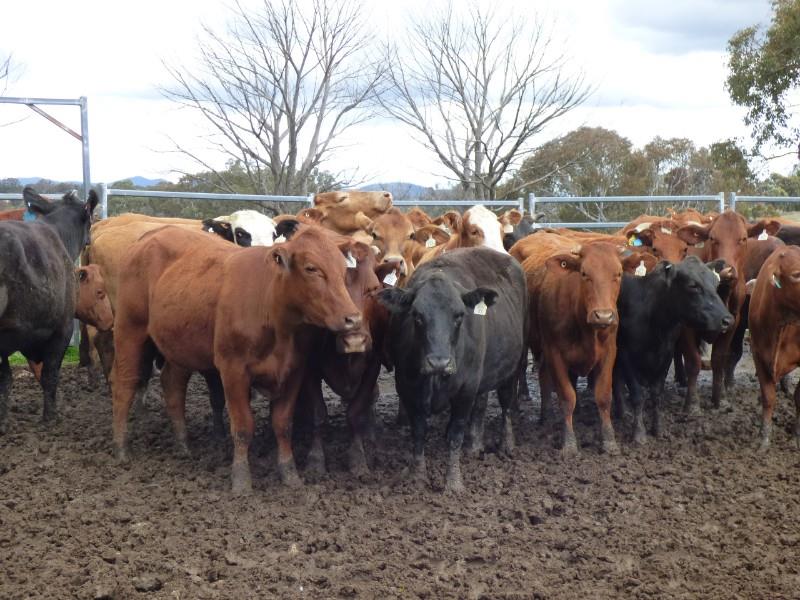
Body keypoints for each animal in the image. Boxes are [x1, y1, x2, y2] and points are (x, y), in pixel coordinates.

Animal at [111, 225, 363, 493]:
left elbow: (283, 424)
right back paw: (121, 449)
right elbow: (242, 427)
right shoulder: (233, 370)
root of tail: (150, 235)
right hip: (129, 330)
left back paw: (183, 445)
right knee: (124, 384)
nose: (353, 318)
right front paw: (241, 480)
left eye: (343, 269)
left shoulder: (294, 370)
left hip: (178, 343)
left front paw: (290, 474)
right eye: (311, 268)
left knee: (172, 385)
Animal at [379, 247, 527, 492]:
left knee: (507, 405)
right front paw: (417, 477)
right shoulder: (407, 389)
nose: (439, 362)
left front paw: (453, 483)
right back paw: (474, 445)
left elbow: (455, 435)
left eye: (459, 315)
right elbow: (418, 433)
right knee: (481, 404)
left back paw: (507, 445)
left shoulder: (465, 391)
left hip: (513, 367)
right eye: (417, 315)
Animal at [614, 257, 734, 443]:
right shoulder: (626, 355)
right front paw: (639, 434)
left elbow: (656, 393)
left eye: (716, 284)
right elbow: (637, 395)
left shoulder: (666, 355)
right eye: (693, 285)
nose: (727, 320)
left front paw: (658, 429)